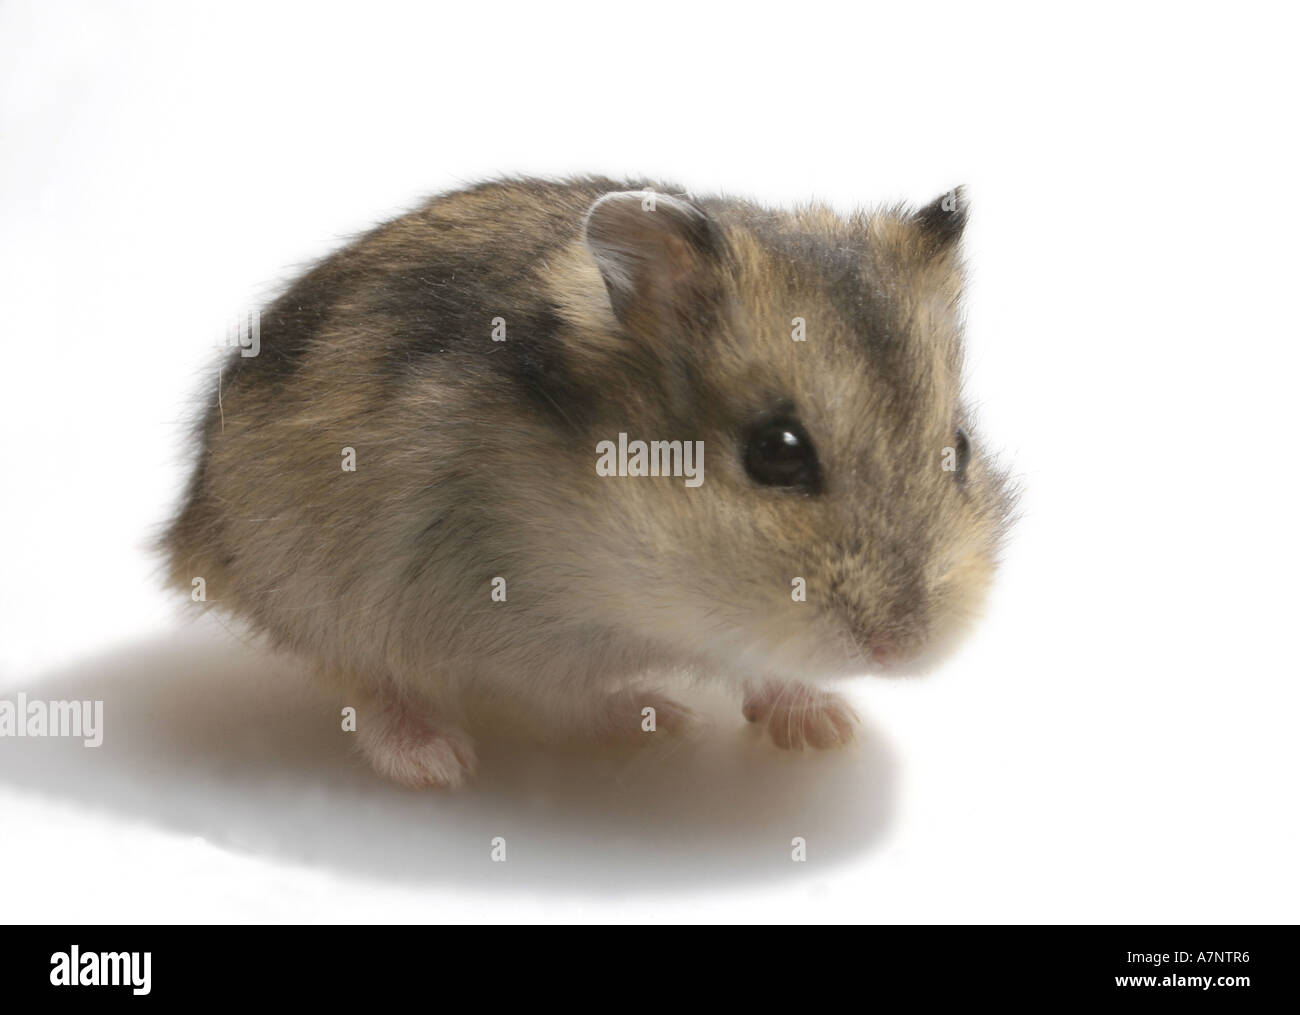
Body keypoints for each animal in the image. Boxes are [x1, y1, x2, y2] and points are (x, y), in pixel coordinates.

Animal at [163, 176, 1014, 788]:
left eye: (961, 447)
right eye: (777, 452)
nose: (903, 648)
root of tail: (190, 530)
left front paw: (828, 730)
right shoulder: (508, 629)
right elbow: (567, 694)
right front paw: (671, 718)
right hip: (313, 580)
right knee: (366, 679)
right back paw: (438, 760)